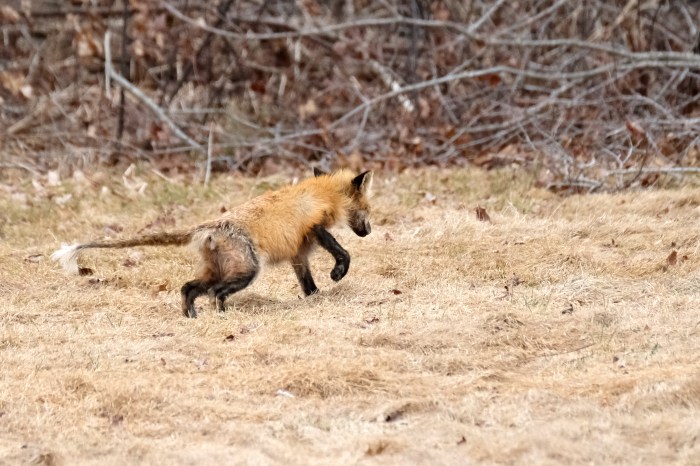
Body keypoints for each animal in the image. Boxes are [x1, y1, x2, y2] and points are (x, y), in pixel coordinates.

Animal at [51, 168, 373, 318]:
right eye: (368, 210)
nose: (369, 232)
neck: (323, 193)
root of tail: (210, 227)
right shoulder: (314, 227)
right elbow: (341, 251)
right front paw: (338, 272)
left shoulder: (299, 253)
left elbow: (308, 284)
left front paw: (315, 299)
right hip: (246, 271)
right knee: (216, 293)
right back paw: (222, 315)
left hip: (215, 270)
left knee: (188, 288)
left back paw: (191, 316)